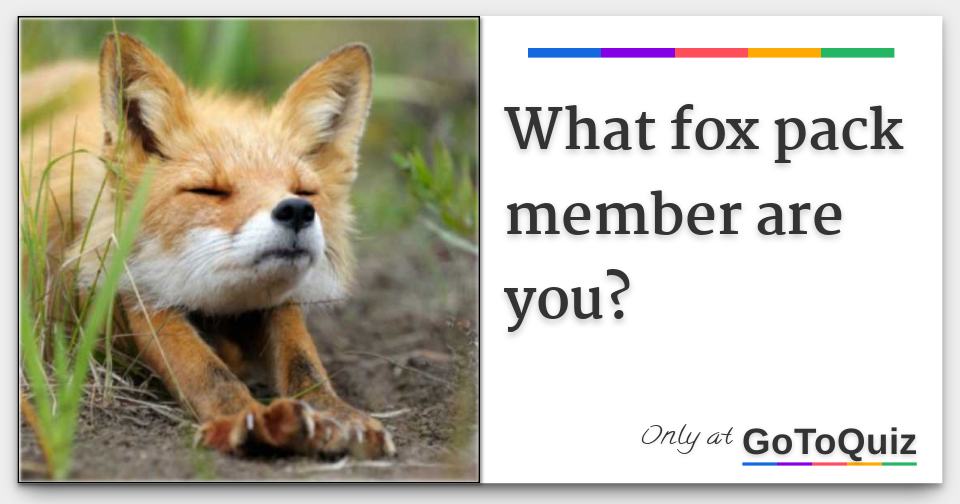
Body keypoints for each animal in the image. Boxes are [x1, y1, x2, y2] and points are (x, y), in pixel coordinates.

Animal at [19, 33, 395, 459]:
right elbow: (202, 367)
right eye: (208, 190)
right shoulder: (133, 283)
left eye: (304, 191)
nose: (298, 211)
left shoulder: (277, 302)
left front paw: (337, 414)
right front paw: (244, 419)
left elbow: (302, 360)